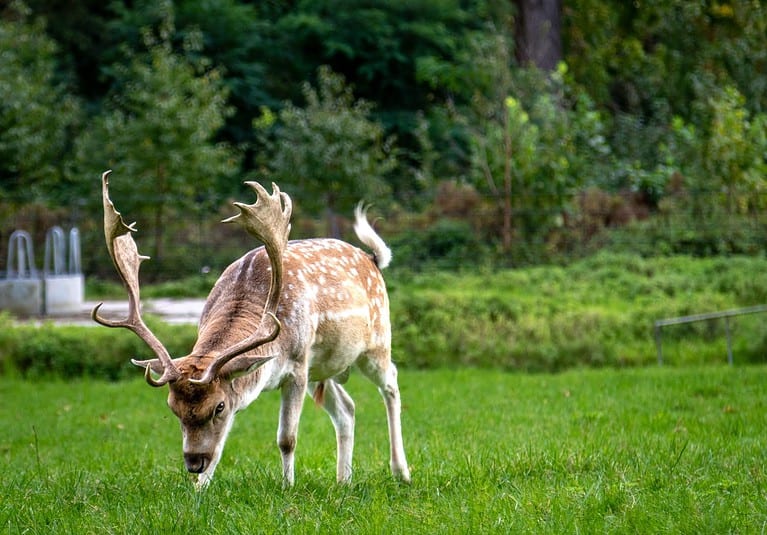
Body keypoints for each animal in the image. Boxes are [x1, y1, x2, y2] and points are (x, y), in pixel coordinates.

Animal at [92, 170, 410, 489]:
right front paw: (199, 490)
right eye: (173, 407)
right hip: (322, 367)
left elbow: (287, 439)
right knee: (347, 408)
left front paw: (287, 486)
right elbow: (220, 445)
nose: (193, 463)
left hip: (376, 342)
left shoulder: (297, 366)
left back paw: (401, 472)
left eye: (218, 407)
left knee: (391, 384)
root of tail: (372, 259)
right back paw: (343, 480)